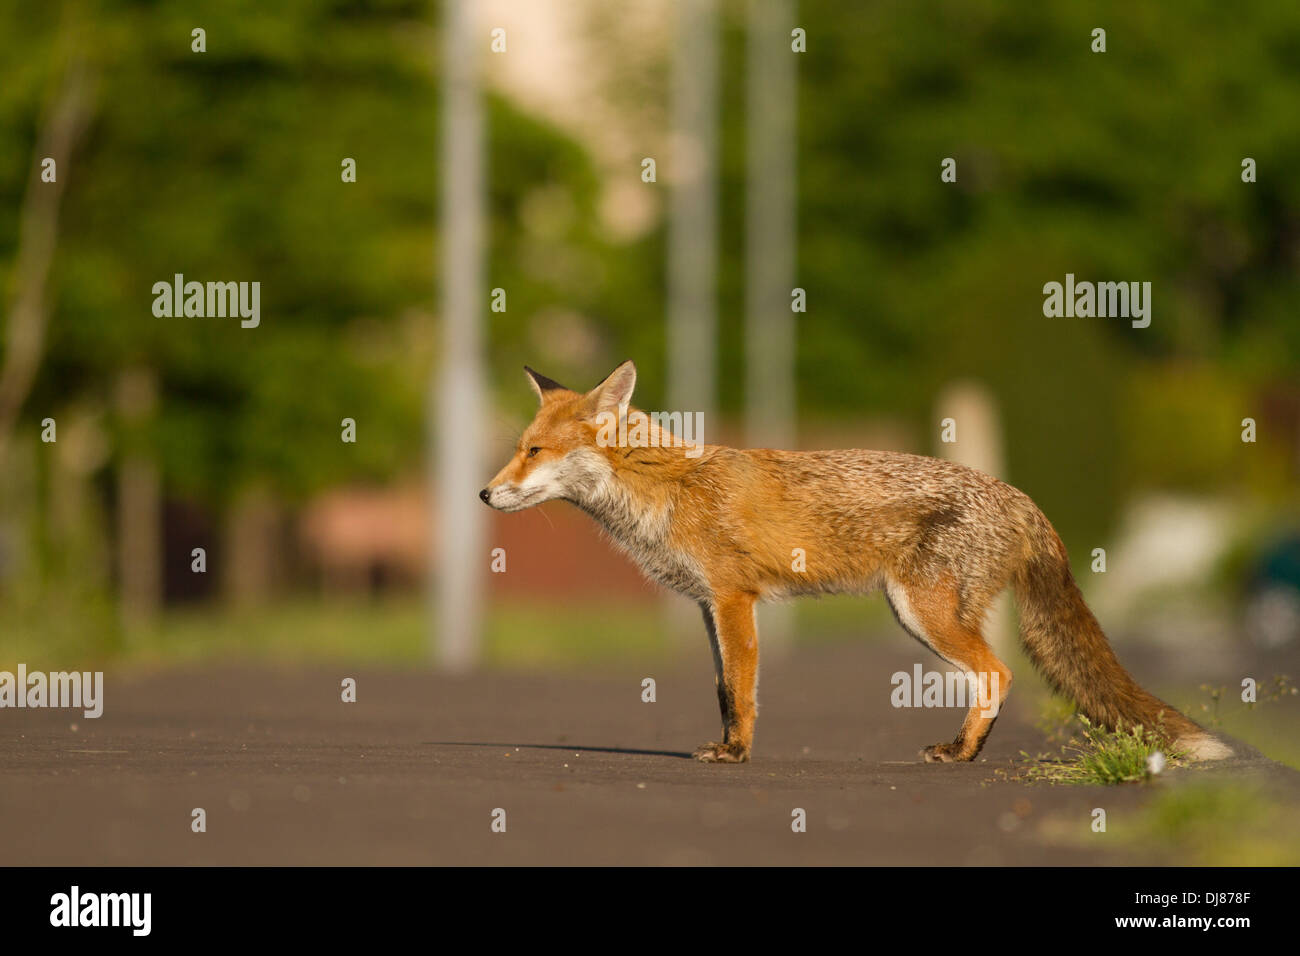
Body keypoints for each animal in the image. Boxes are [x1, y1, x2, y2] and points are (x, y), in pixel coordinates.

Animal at [480, 359, 1232, 765]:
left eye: (534, 452)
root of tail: (1021, 497)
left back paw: (962, 753)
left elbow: (742, 691)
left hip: (923, 614)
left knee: (998, 672)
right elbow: (722, 690)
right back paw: (966, 750)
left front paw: (737, 754)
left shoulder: (734, 600)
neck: (665, 486)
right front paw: (726, 744)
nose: (484, 493)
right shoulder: (706, 606)